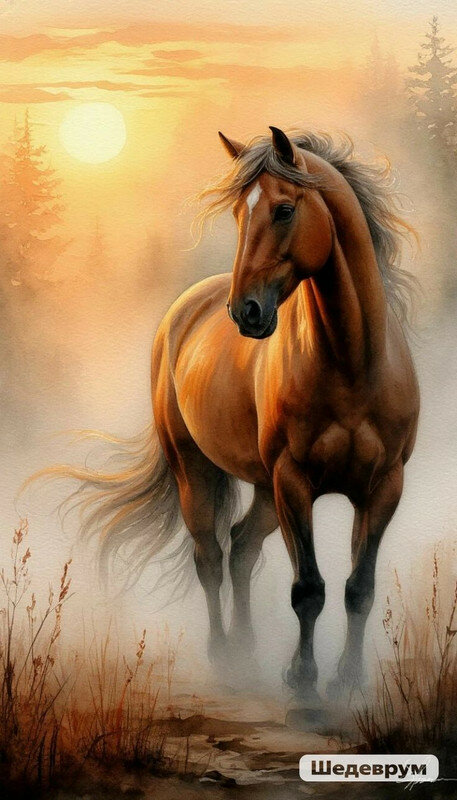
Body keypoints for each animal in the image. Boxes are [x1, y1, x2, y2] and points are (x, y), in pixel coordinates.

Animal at [39, 127, 419, 718]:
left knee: (241, 547)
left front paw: (347, 683)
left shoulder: (383, 487)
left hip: (265, 489)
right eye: (240, 214)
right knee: (212, 556)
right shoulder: (294, 483)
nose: (247, 313)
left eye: (284, 209)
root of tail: (184, 310)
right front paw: (304, 687)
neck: (353, 364)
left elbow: (360, 587)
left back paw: (247, 653)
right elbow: (308, 588)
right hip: (197, 470)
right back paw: (226, 658)